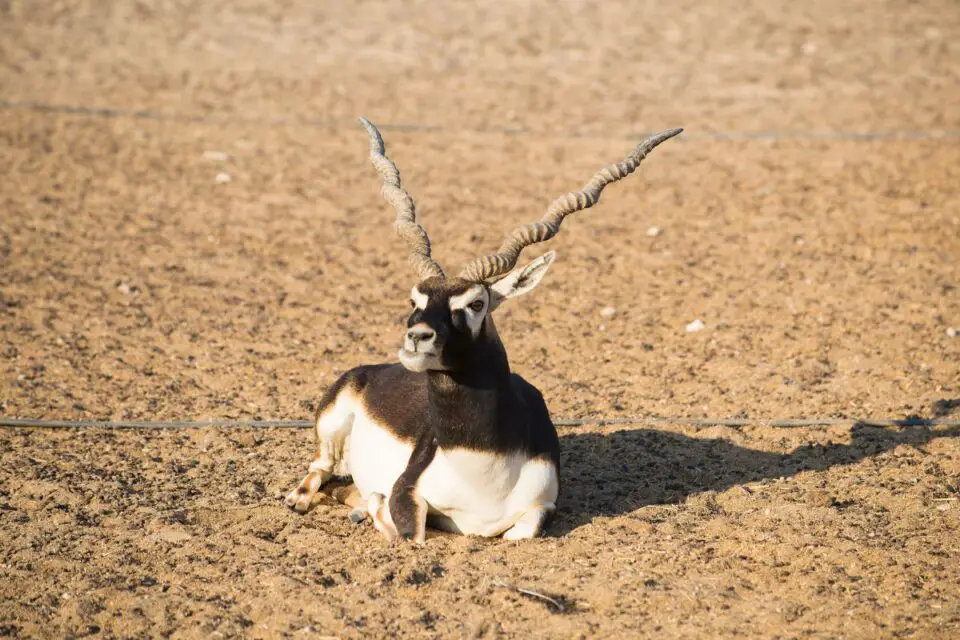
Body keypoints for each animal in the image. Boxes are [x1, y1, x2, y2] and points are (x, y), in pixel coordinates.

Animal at [285, 118, 682, 543]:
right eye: (414, 299)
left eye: (476, 303)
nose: (416, 338)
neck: (481, 469)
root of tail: (369, 372)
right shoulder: (406, 491)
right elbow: (408, 531)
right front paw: (372, 506)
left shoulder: (541, 507)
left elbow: (521, 533)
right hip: (330, 428)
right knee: (319, 469)